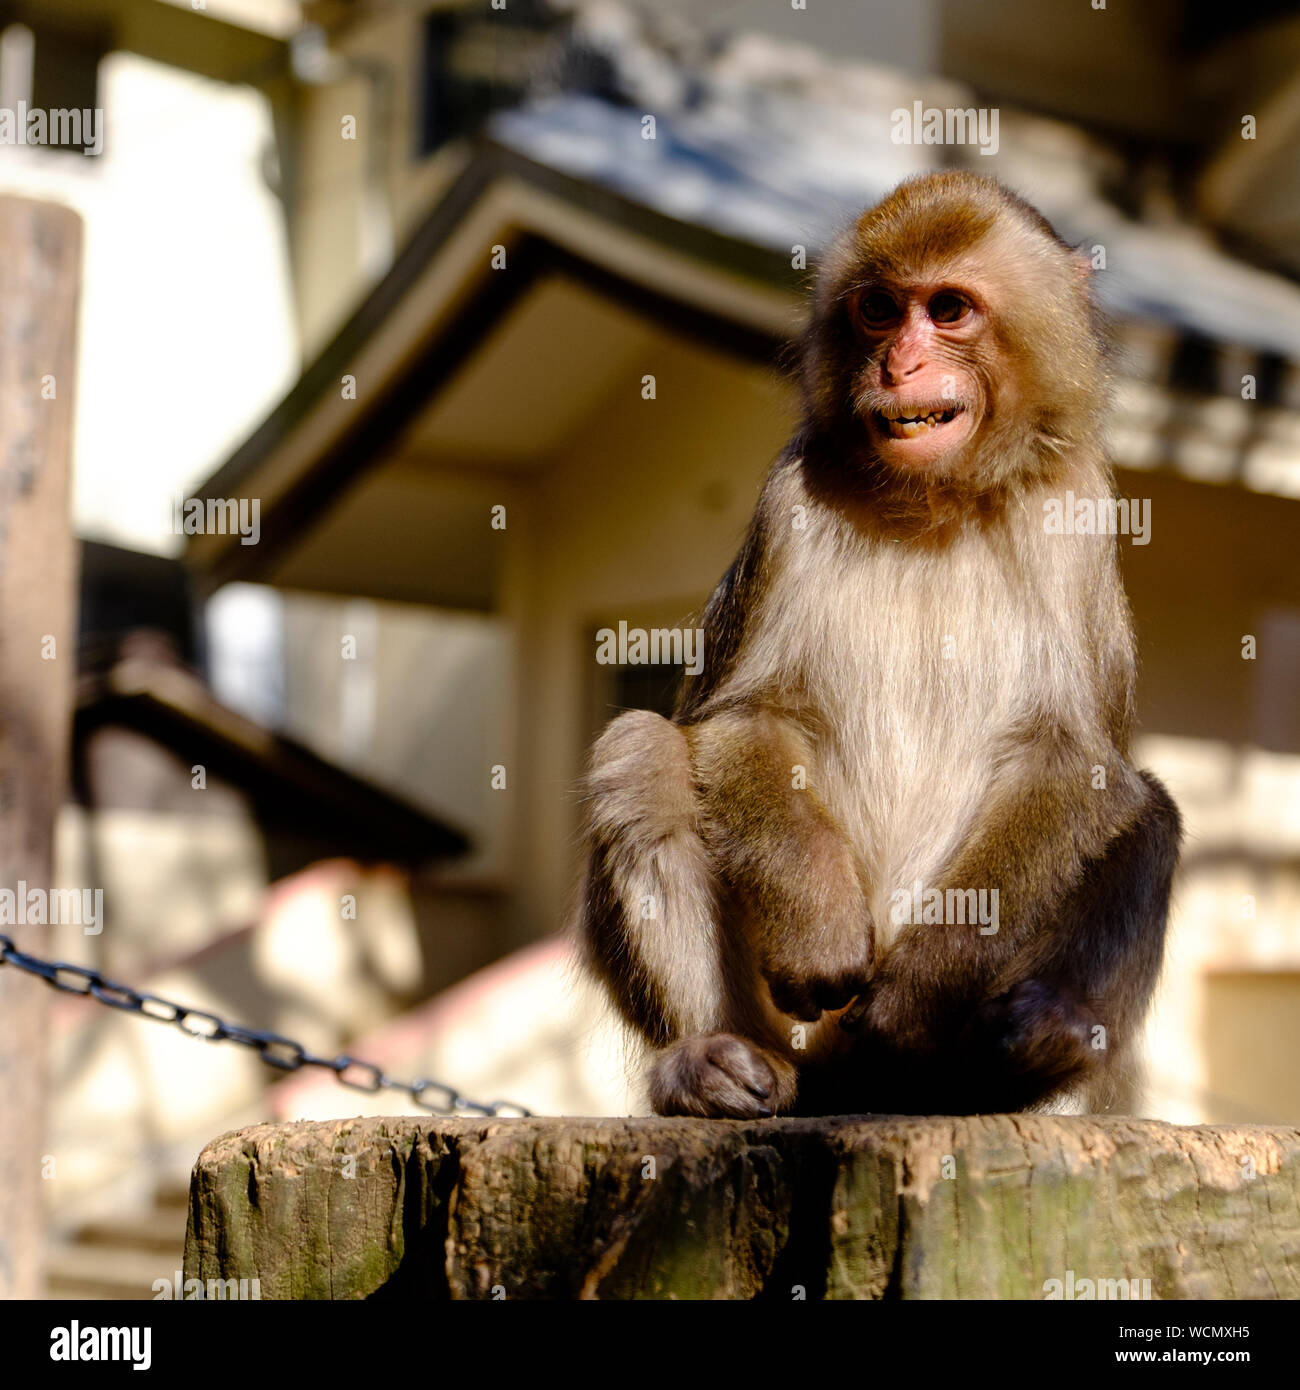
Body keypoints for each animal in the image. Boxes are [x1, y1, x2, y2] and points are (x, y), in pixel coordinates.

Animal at [575, 171, 1181, 1119]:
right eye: (877, 310)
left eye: (949, 309)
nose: (898, 364)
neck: (936, 505)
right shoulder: (791, 496)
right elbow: (749, 719)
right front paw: (820, 930)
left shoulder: (1076, 507)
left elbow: (1075, 761)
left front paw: (921, 991)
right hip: (786, 1035)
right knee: (640, 750)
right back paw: (710, 1061)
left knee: (1149, 808)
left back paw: (1028, 1047)